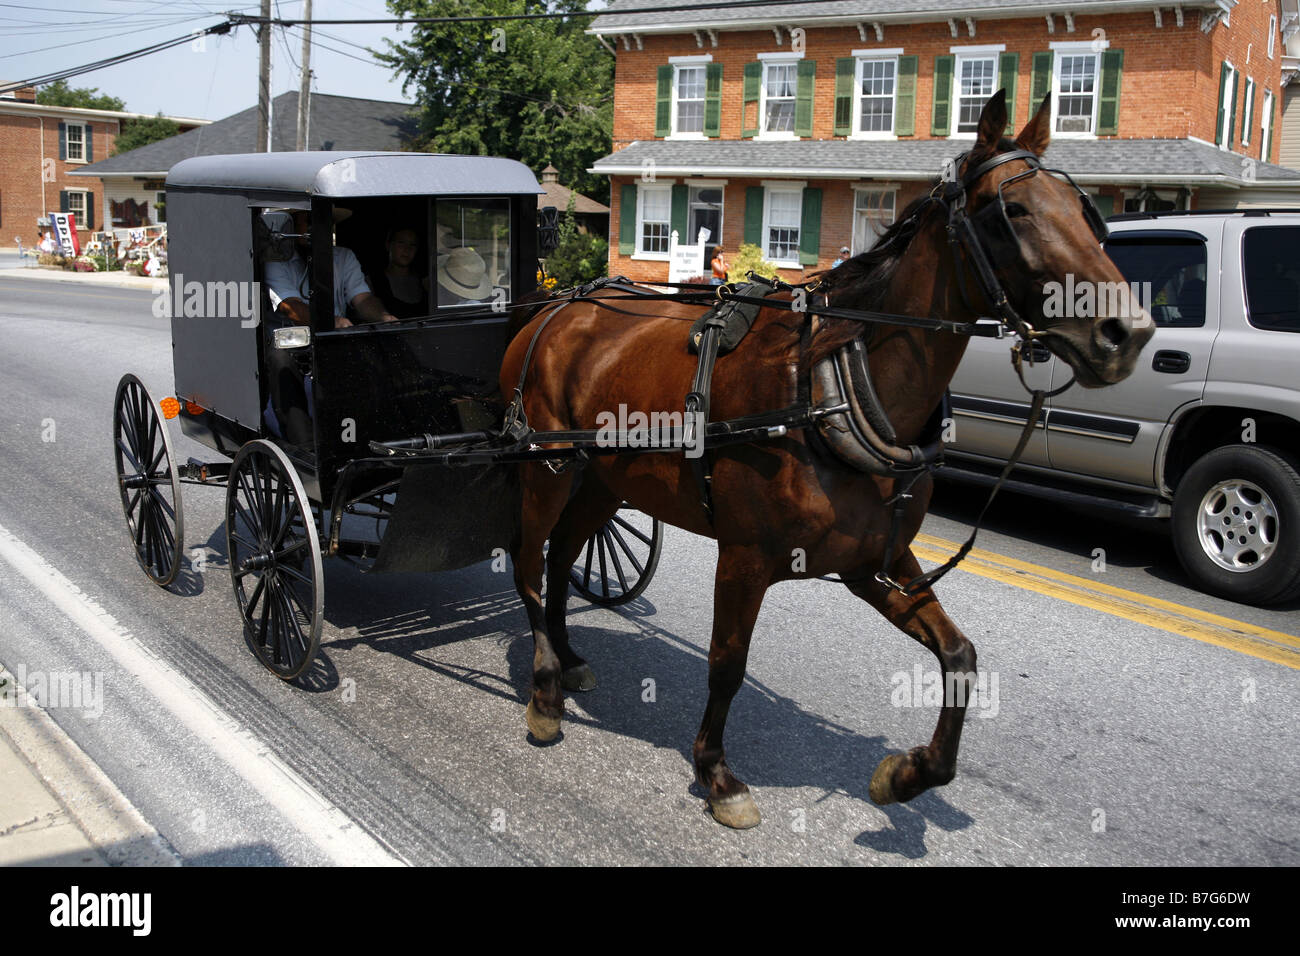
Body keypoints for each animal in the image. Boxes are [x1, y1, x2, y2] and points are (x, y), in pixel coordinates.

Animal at [500, 91, 1155, 828]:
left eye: (1085, 212)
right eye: (1009, 212)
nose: (1127, 333)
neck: (828, 388)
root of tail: (554, 305)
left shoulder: (874, 561)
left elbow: (959, 654)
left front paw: (909, 774)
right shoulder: (746, 555)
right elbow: (728, 662)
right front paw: (716, 773)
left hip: (603, 482)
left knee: (561, 558)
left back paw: (568, 655)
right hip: (546, 470)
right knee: (529, 564)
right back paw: (545, 692)